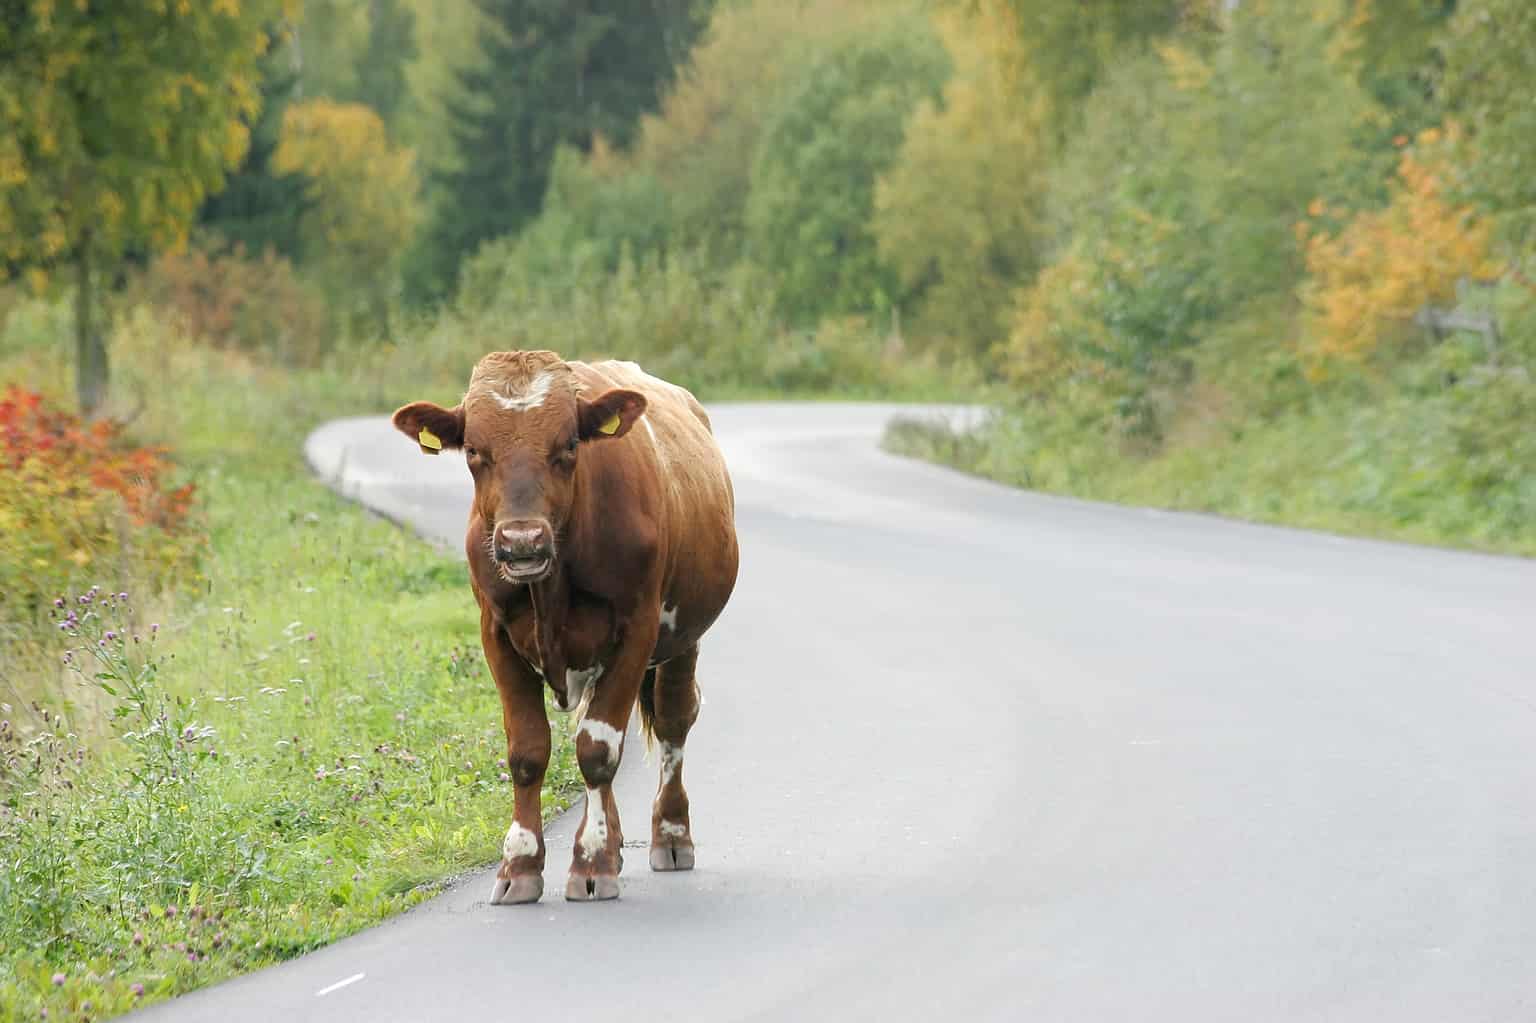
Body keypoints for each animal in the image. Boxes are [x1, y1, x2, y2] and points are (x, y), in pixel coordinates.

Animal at [391, 351, 739, 903]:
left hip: (684, 638)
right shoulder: (495, 635)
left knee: (673, 719)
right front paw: (520, 864)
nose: (522, 540)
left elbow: (599, 748)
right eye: (474, 450)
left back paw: (670, 835)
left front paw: (591, 862)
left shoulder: (636, 631)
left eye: (570, 445)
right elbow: (527, 749)